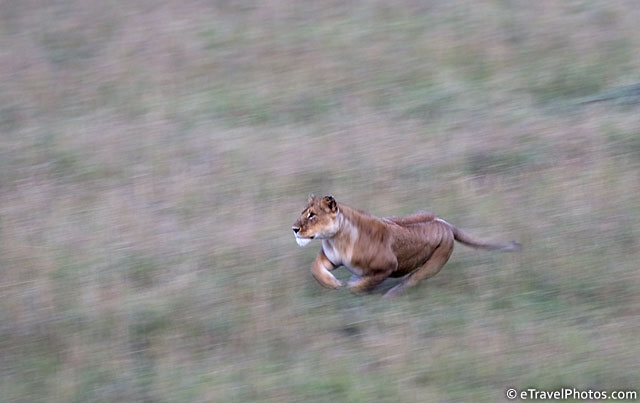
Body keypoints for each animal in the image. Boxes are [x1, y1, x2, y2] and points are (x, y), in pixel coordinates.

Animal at [292, 195, 520, 297]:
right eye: (303, 213)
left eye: (312, 215)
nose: (294, 228)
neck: (336, 239)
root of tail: (446, 224)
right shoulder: (329, 258)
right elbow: (315, 269)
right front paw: (332, 283)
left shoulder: (387, 266)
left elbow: (362, 285)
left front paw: (354, 285)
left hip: (432, 265)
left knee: (411, 280)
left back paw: (390, 294)